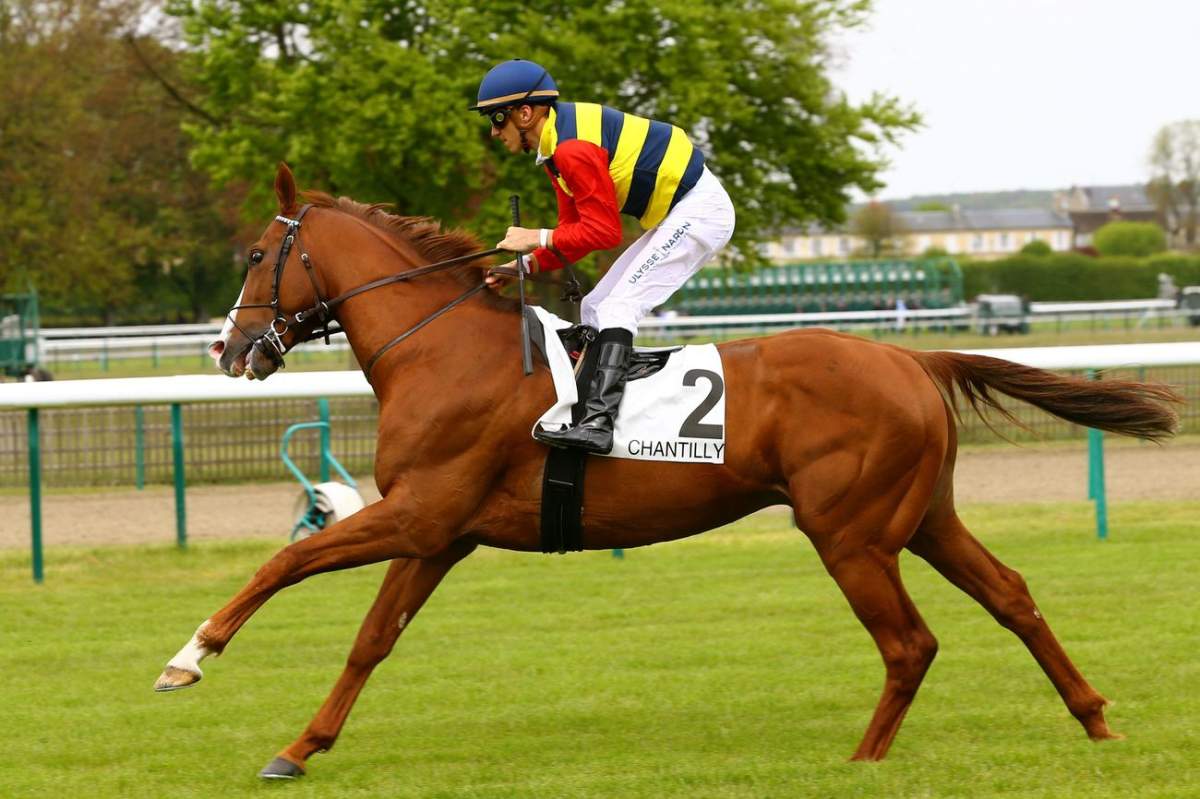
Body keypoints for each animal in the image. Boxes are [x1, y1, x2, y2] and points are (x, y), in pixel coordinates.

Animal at [157, 164, 1182, 779]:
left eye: (258, 253)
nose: (228, 348)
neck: (439, 350)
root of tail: (911, 357)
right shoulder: (439, 532)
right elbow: (372, 639)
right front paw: (300, 745)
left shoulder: (417, 514)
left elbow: (285, 561)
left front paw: (189, 656)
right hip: (923, 515)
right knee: (1011, 595)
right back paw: (1094, 716)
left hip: (849, 532)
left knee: (909, 643)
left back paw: (864, 759)